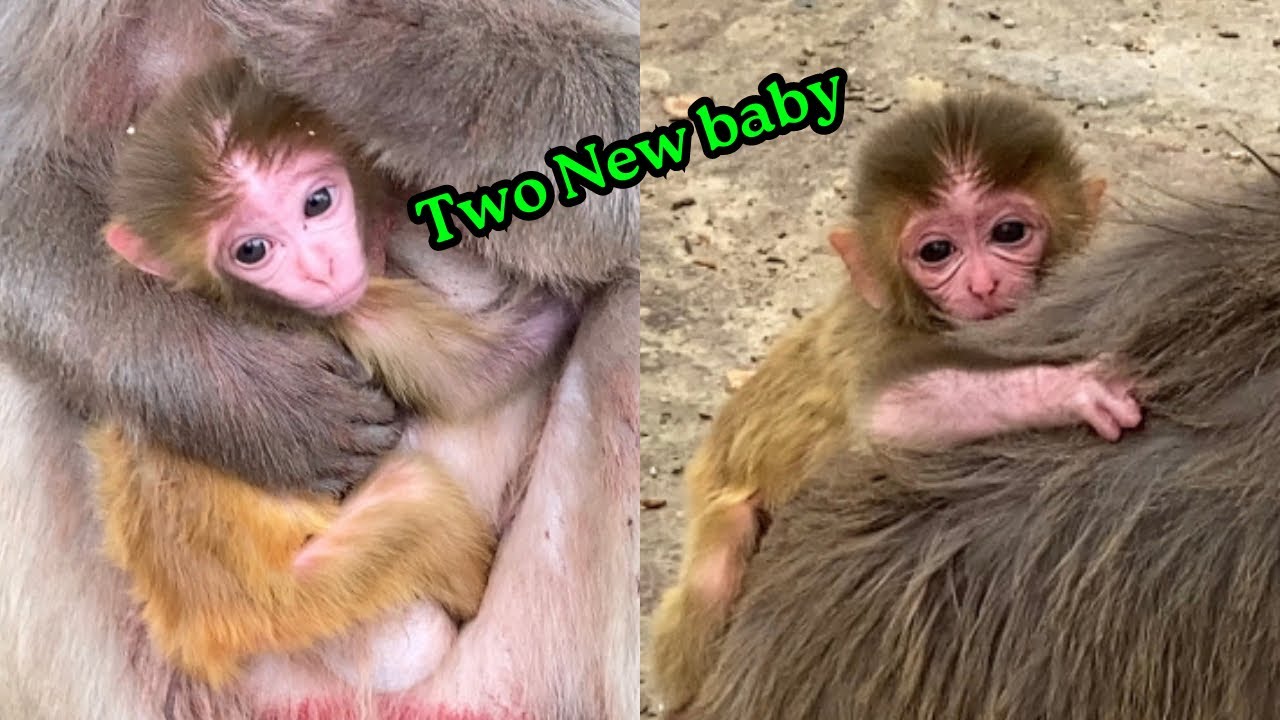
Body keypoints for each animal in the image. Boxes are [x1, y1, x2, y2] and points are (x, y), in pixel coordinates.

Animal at [0, 2, 638, 718]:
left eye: (317, 203)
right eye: (252, 248)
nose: (316, 267)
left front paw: (379, 50)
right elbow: (21, 175)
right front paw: (261, 401)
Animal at [648, 92, 1133, 713]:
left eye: (1009, 232)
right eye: (936, 251)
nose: (982, 285)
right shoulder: (882, 338)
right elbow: (888, 411)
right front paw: (1069, 389)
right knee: (721, 556)